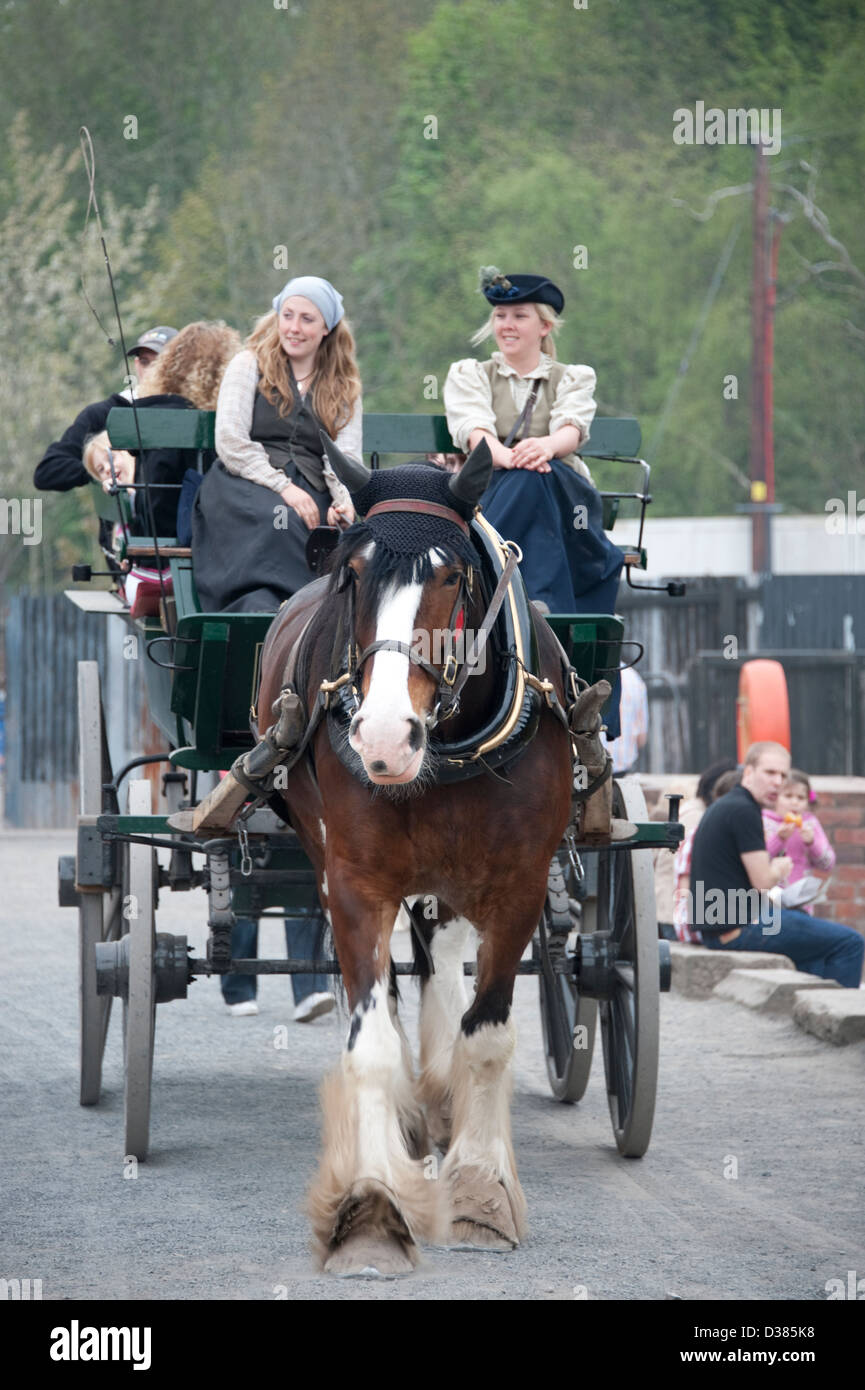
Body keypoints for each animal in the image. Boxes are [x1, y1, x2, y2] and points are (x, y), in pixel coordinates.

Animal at [256, 437, 575, 1276]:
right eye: (352, 573)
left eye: (452, 575)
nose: (382, 737)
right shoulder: (354, 884)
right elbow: (369, 1043)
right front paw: (371, 1207)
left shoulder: (519, 884)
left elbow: (486, 1036)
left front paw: (480, 1193)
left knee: (438, 962)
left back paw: (436, 1101)